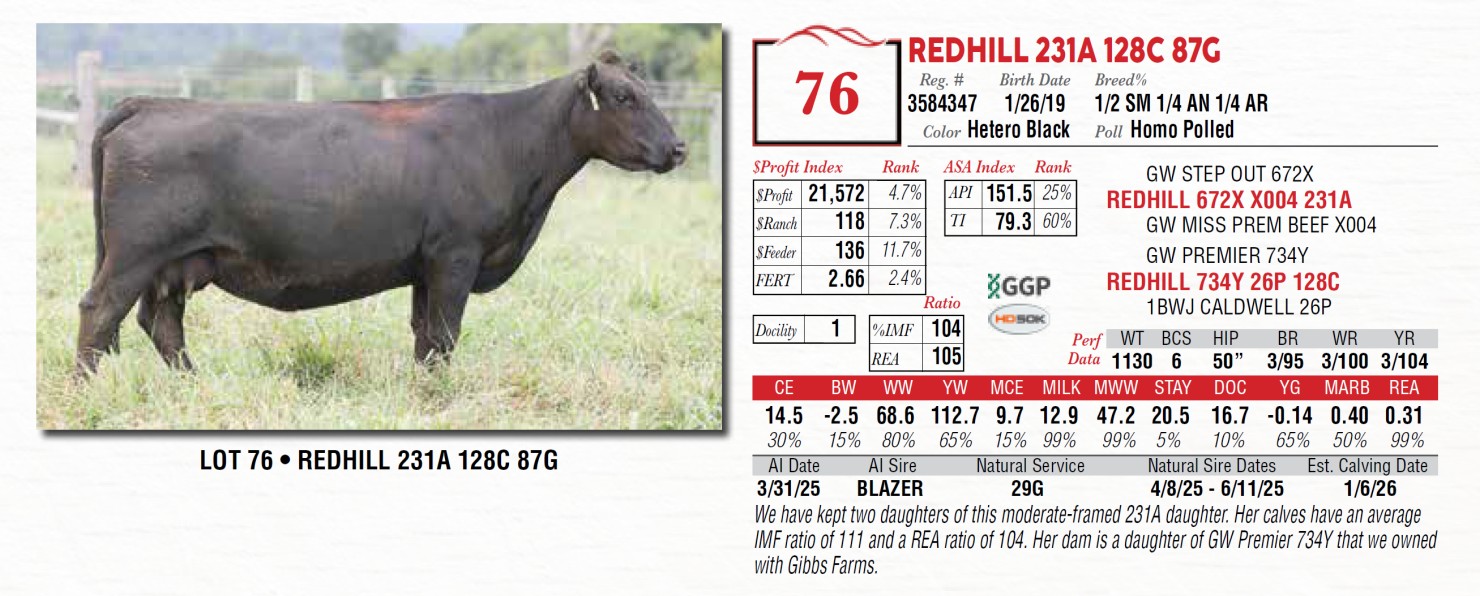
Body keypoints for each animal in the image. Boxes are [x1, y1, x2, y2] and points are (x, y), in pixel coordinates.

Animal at [75, 50, 687, 374]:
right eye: (626, 98)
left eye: (648, 92)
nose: (678, 148)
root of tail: (152, 102)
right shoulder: (455, 255)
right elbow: (444, 333)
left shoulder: (425, 265)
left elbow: (423, 335)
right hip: (136, 253)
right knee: (101, 312)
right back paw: (91, 387)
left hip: (176, 261)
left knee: (161, 322)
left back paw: (195, 382)